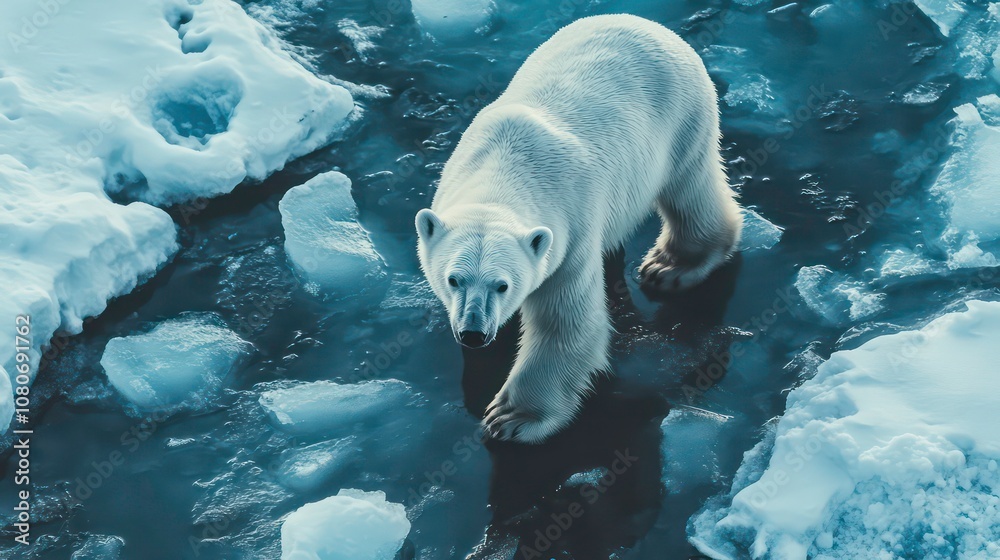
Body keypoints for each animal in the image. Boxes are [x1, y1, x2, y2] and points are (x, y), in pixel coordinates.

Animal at [415, 14, 742, 444]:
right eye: (453, 279)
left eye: (503, 284)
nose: (473, 333)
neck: (504, 168)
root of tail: (644, 22)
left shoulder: (571, 231)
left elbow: (566, 324)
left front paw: (510, 417)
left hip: (683, 119)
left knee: (689, 188)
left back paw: (671, 266)